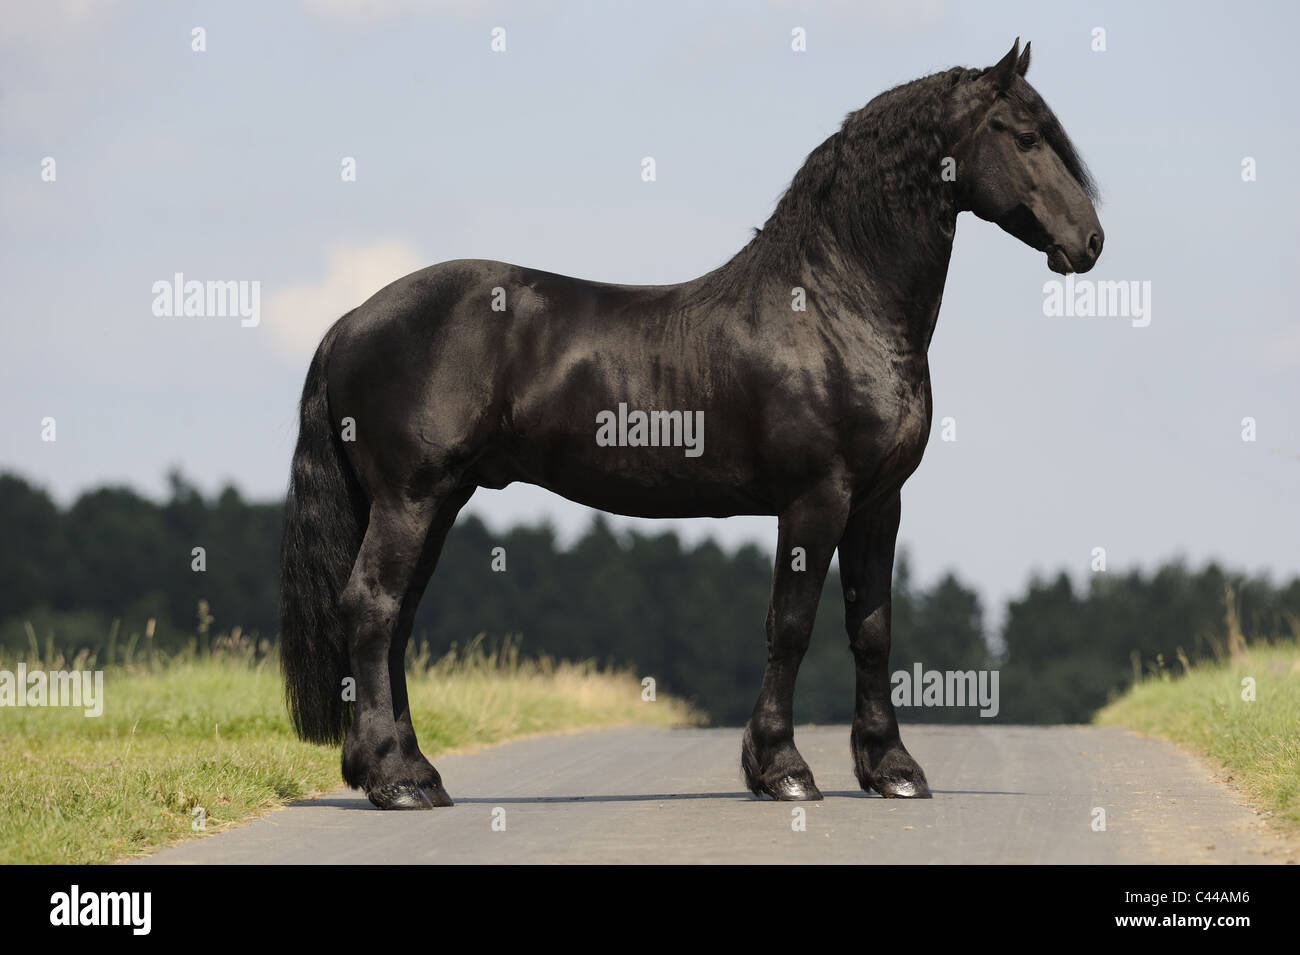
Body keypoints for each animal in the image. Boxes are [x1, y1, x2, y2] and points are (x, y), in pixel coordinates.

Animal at [279, 39, 1102, 809]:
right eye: (1026, 135)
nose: (1091, 242)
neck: (834, 306)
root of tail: (351, 319)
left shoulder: (878, 502)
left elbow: (871, 629)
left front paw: (892, 769)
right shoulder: (816, 498)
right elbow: (790, 625)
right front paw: (783, 770)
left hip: (439, 500)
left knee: (398, 619)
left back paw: (411, 770)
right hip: (411, 499)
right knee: (372, 607)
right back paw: (395, 780)